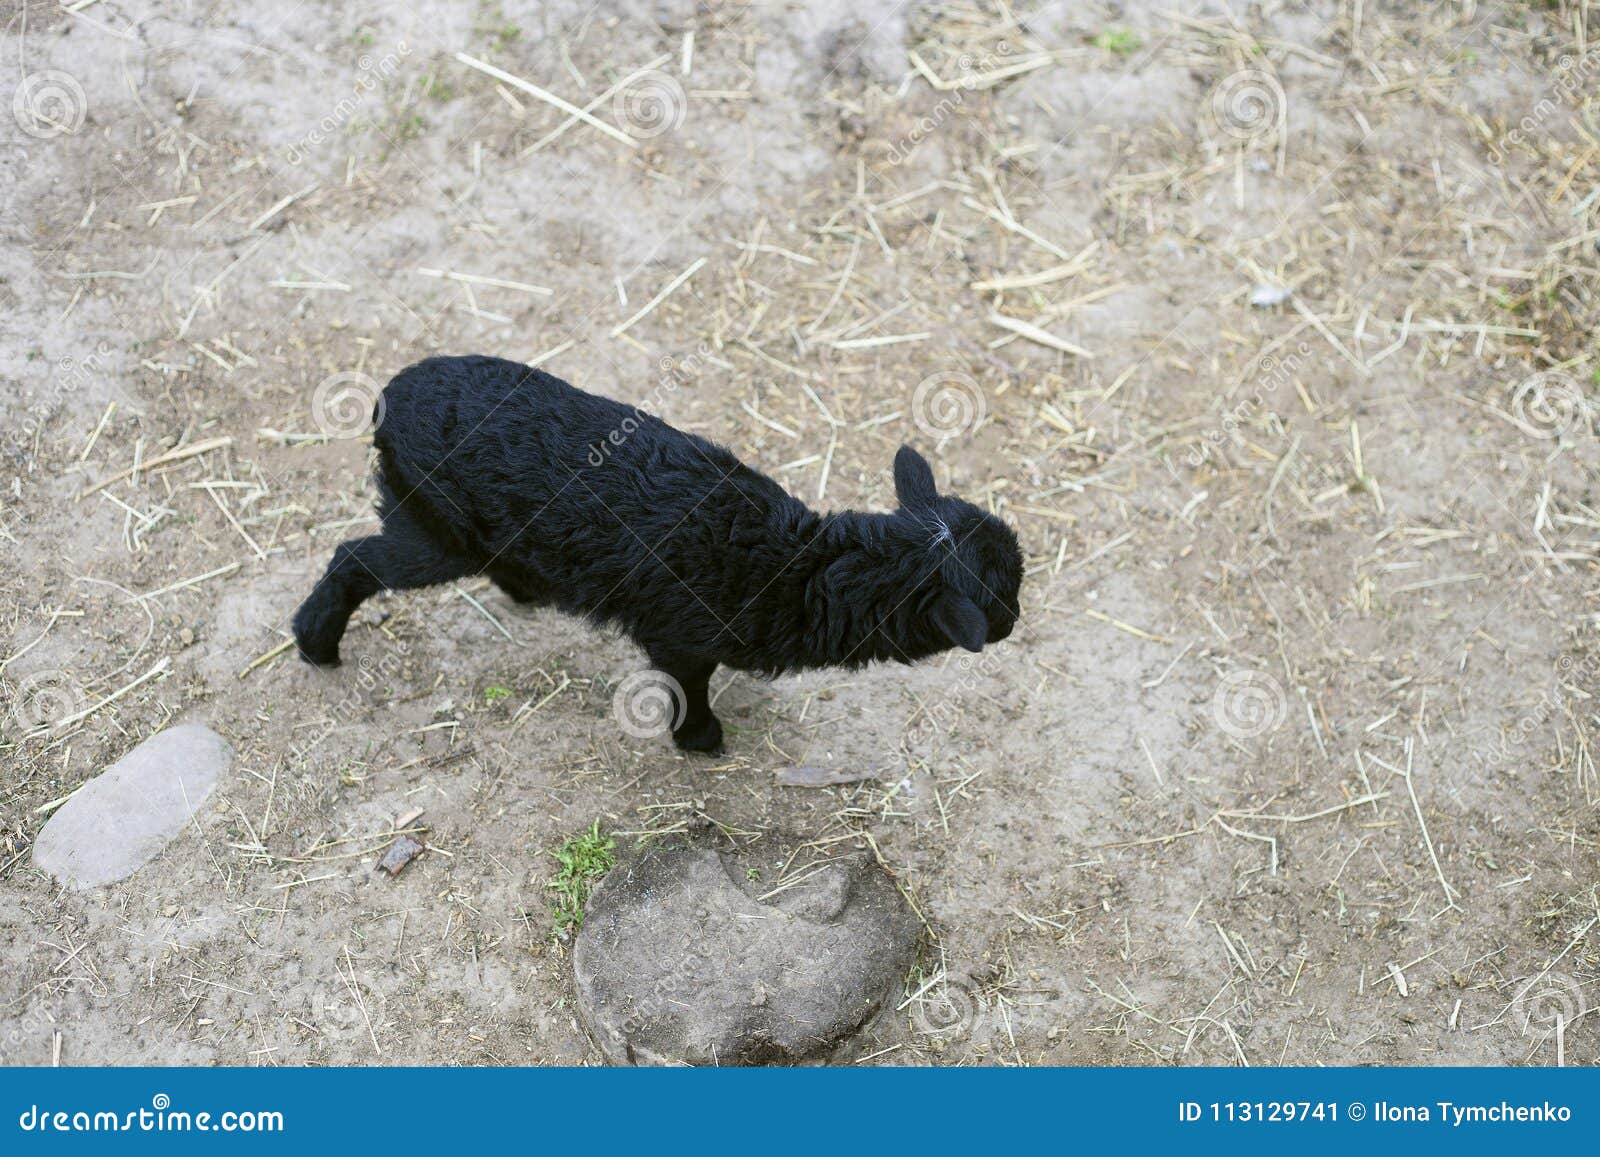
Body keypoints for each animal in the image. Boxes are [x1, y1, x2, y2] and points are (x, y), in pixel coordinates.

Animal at [292, 355, 1024, 753]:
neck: (798, 569)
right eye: (1005, 593)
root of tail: (388, 399)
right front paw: (701, 741)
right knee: (355, 556)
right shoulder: (680, 638)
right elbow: (686, 688)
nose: (1016, 622)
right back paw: (314, 643)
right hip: (437, 528)